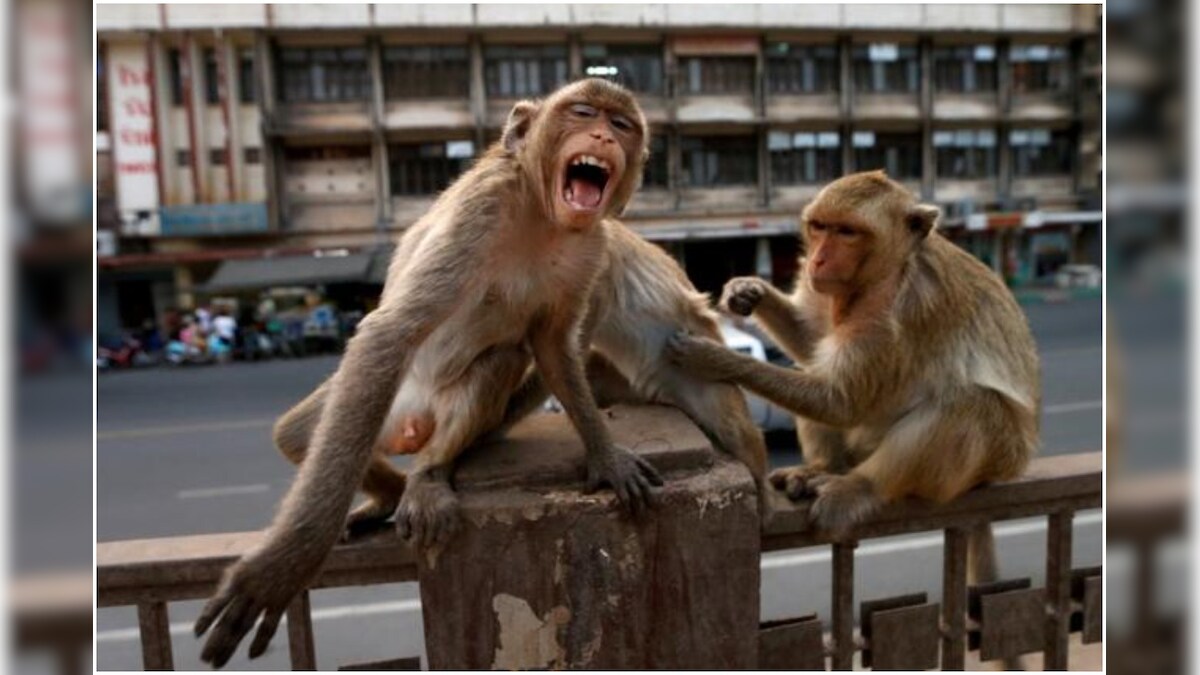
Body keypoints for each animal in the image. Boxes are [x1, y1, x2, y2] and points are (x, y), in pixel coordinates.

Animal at [194, 78, 665, 668]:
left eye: (620, 125)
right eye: (582, 112)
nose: (602, 136)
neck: (542, 214)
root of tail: (414, 422)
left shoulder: (592, 246)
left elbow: (554, 349)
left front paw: (604, 455)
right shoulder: (481, 209)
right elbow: (389, 331)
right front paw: (290, 559)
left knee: (498, 363)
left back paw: (425, 475)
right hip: (382, 399)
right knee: (303, 432)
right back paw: (390, 491)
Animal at [666, 170, 1040, 587]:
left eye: (847, 232)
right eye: (819, 227)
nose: (818, 259)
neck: (884, 273)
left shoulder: (893, 314)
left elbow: (840, 401)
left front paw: (712, 358)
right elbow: (814, 345)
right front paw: (749, 291)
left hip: (994, 460)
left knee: (969, 404)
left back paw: (859, 486)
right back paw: (822, 467)